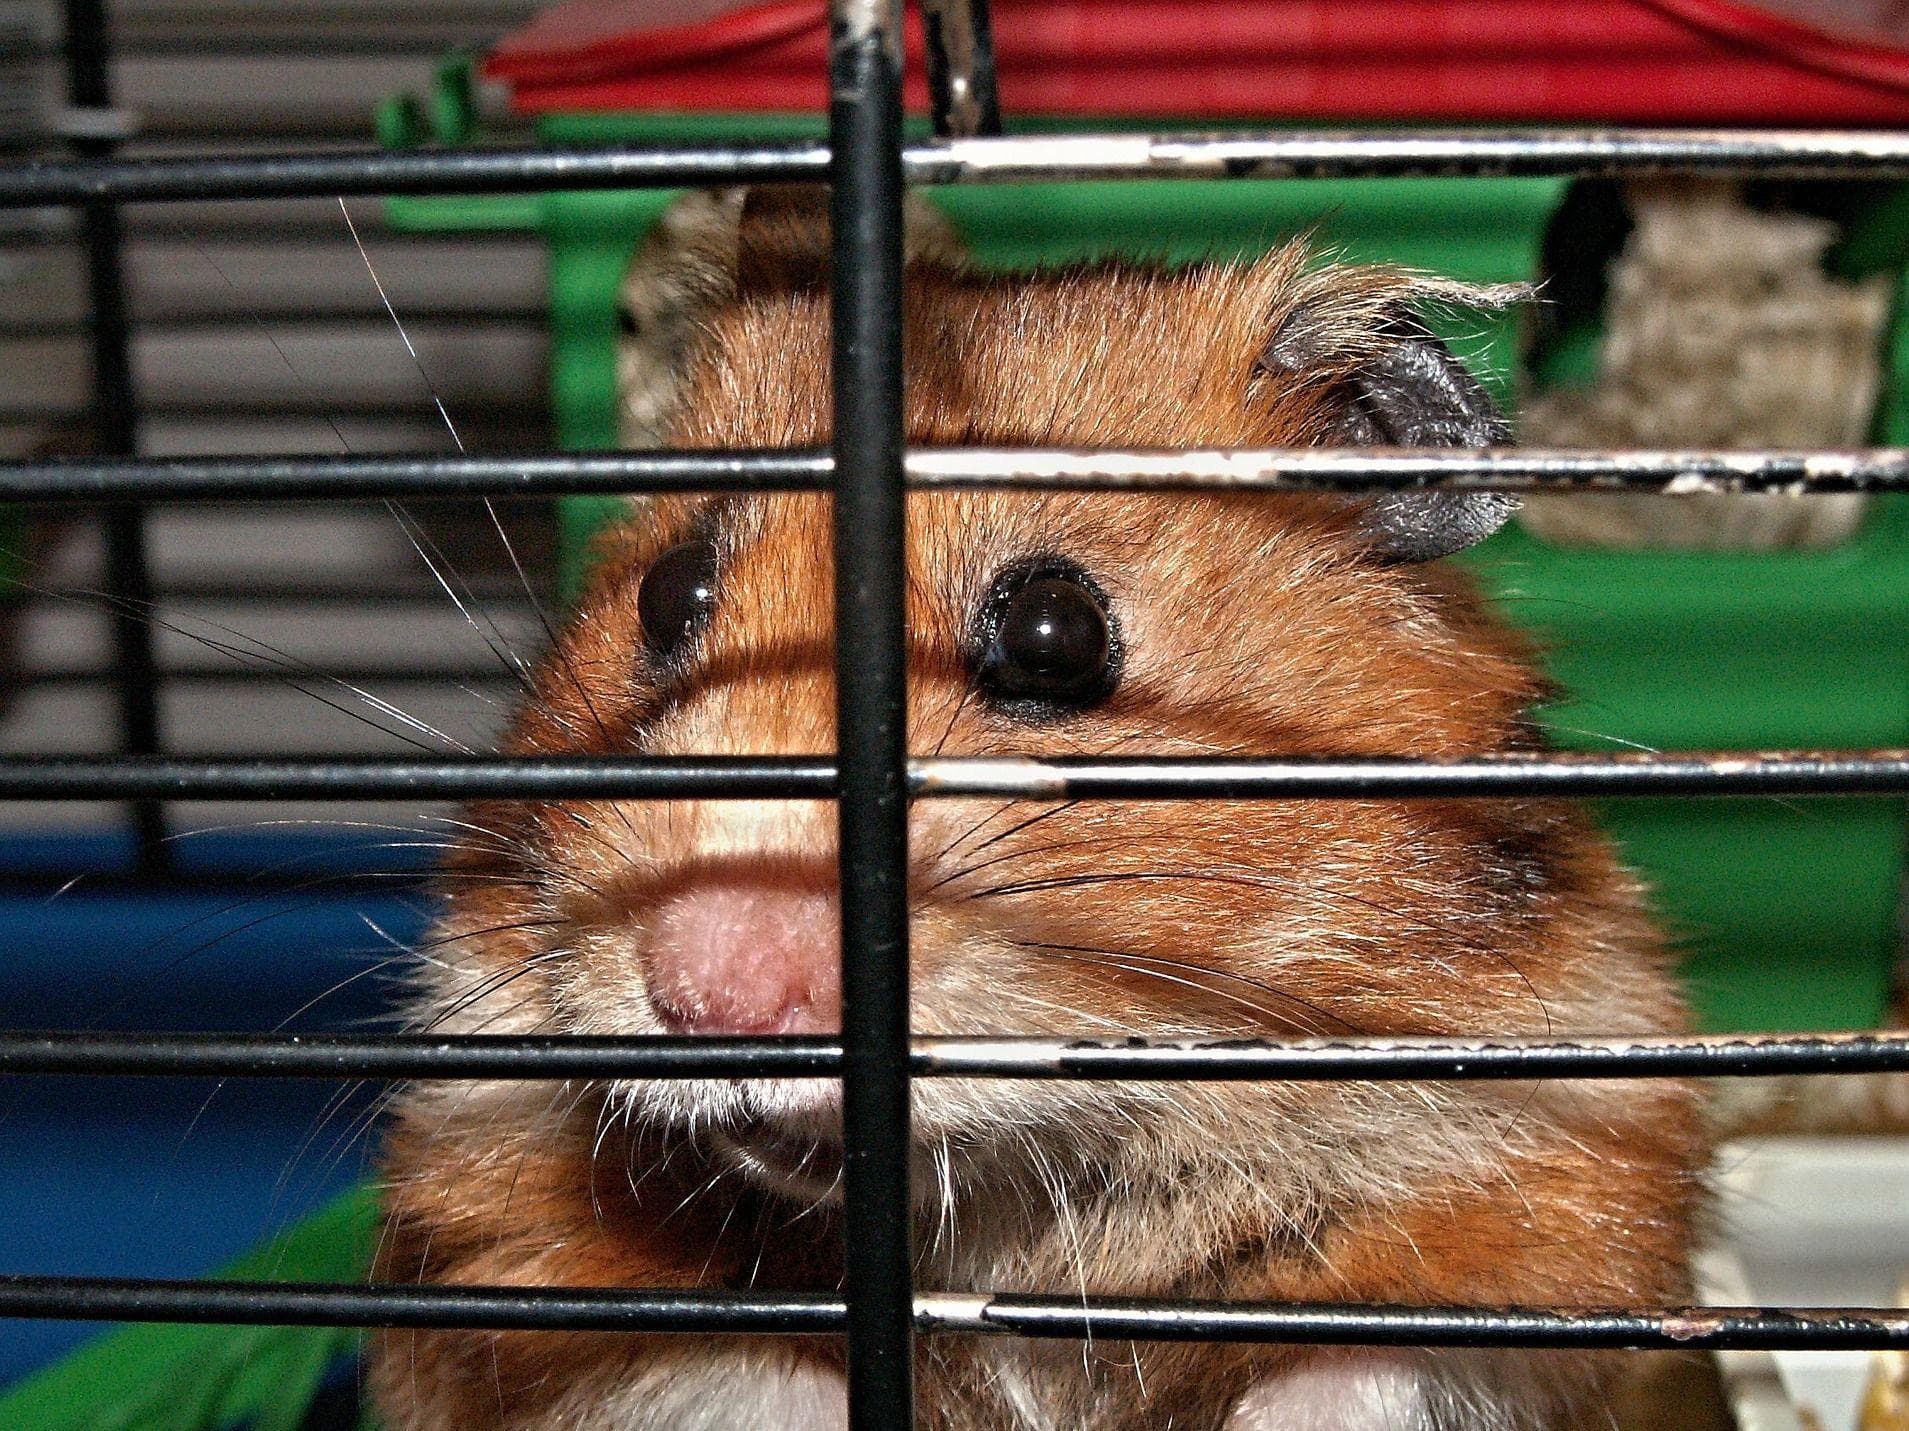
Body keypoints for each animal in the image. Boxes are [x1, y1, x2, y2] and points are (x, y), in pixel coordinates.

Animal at [370, 191, 1707, 1431]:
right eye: (666, 593)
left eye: (1053, 634)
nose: (712, 996)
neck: (1015, 1187)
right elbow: (727, 1370)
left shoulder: (1557, 1185)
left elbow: (1365, 1365)